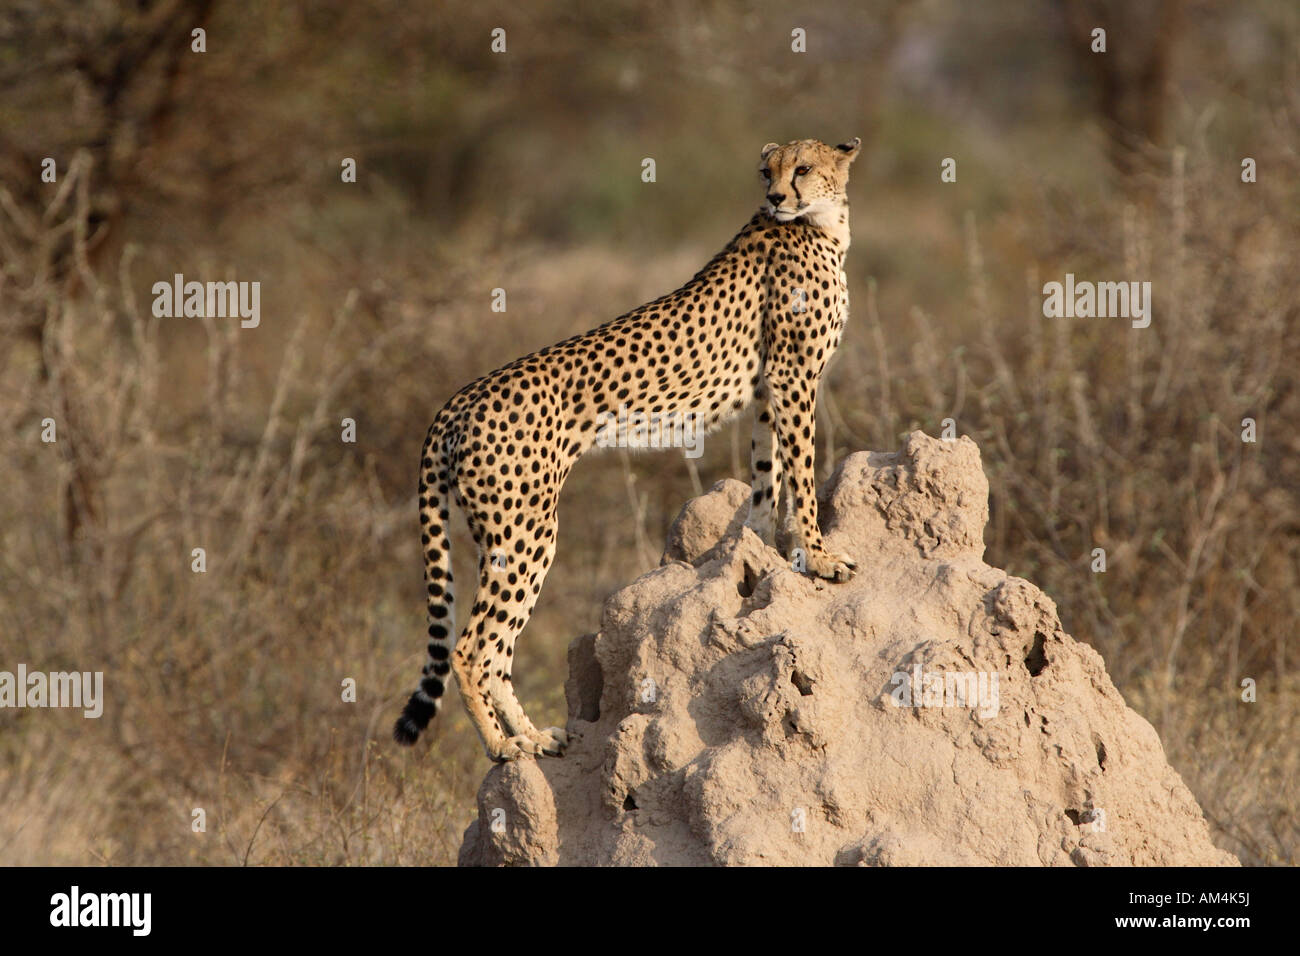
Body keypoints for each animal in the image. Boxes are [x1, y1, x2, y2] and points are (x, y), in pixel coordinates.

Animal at [394, 137, 862, 761]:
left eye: (802, 169)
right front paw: (820, 556)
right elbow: (804, 474)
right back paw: (504, 748)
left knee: (495, 652)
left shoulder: (770, 389)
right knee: (474, 650)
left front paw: (760, 547)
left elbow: (768, 476)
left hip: (498, 535)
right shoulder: (793, 379)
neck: (821, 223)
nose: (776, 197)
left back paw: (536, 738)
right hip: (526, 531)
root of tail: (459, 398)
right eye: (768, 172)